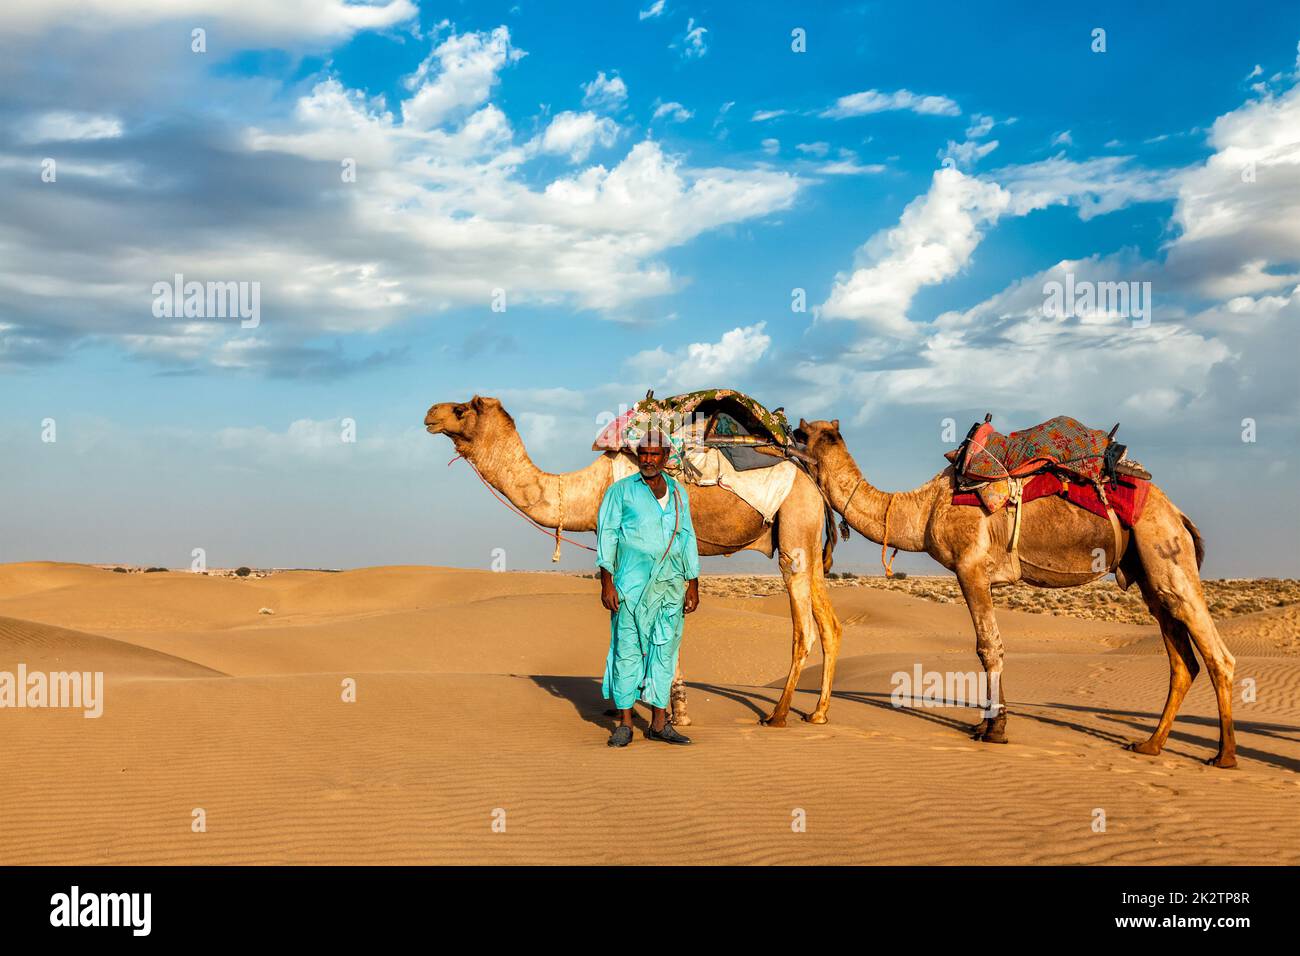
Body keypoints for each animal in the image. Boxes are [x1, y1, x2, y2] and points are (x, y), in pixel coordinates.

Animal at [424, 395, 844, 727]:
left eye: (461, 409)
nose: (430, 413)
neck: (587, 489)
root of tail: (812, 481)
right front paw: (659, 707)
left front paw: (667, 711)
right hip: (805, 538)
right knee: (830, 624)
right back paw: (818, 713)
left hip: (794, 527)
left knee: (804, 629)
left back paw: (779, 715)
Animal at [793, 418, 1238, 768]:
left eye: (800, 433)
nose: (784, 435)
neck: (921, 510)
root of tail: (1178, 513)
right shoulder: (980, 576)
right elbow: (992, 645)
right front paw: (985, 723)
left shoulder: (970, 568)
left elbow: (988, 646)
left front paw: (995, 730)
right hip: (1147, 572)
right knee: (1182, 660)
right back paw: (1150, 744)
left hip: (1166, 550)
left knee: (1216, 652)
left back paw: (1224, 755)